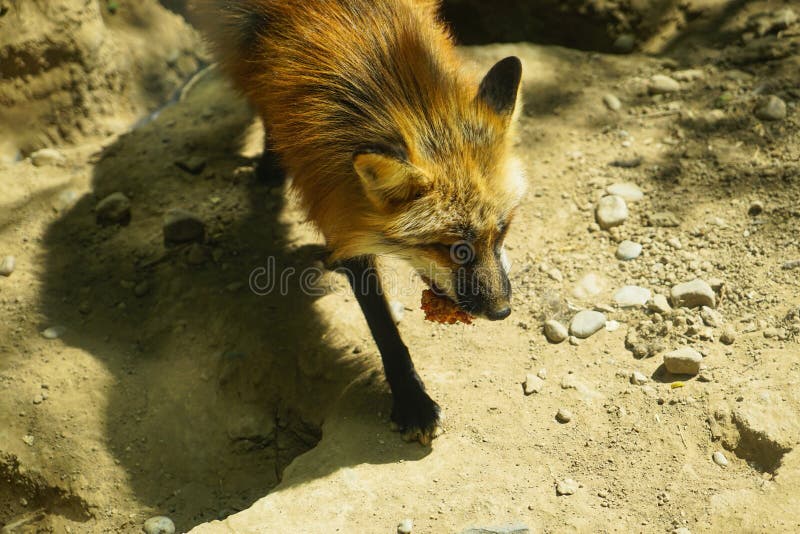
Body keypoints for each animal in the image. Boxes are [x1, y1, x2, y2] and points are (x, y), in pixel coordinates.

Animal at [191, 0, 526, 445]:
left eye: (502, 231)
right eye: (455, 248)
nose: (502, 312)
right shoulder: (337, 203)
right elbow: (382, 325)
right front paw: (413, 400)